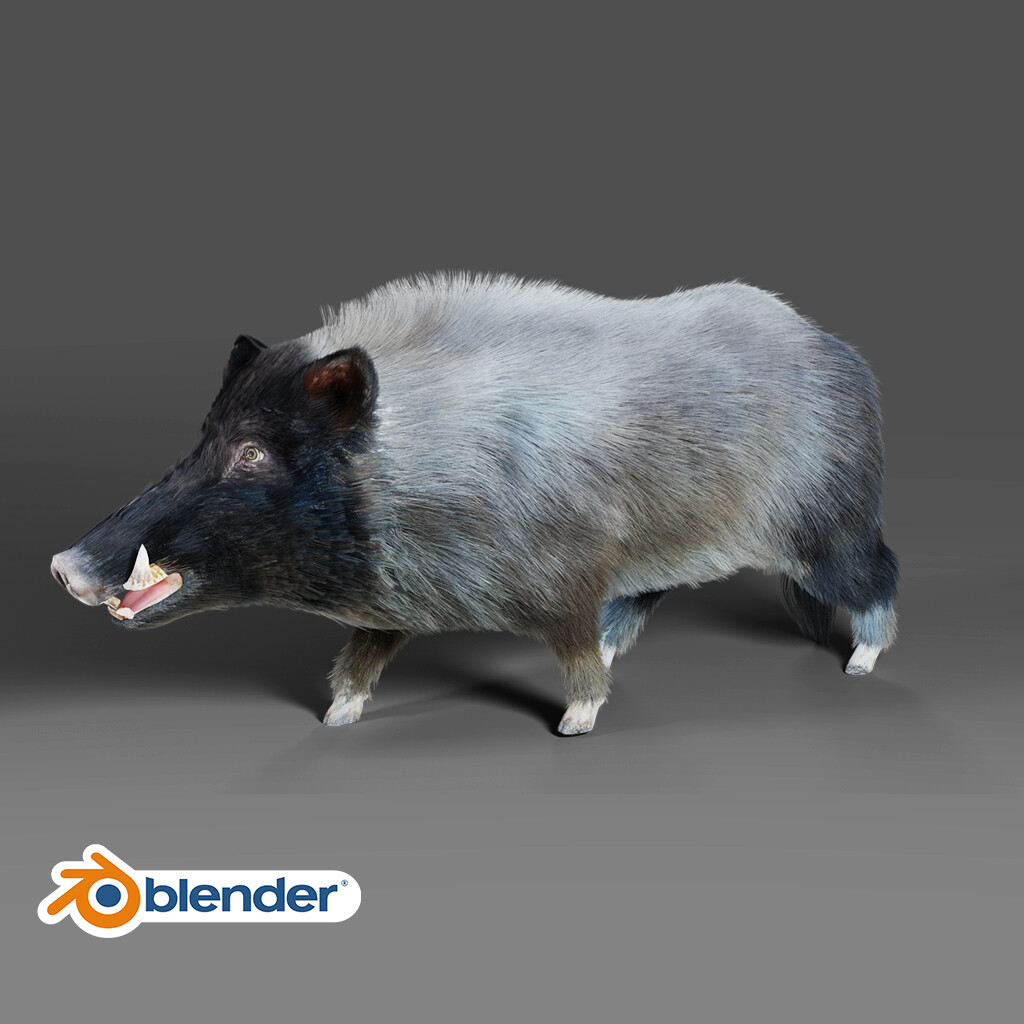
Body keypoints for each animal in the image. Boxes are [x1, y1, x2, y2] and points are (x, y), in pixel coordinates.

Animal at [51, 273, 899, 734]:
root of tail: (840, 353)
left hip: (826, 528)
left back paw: (861, 665)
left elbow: (573, 657)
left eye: (253, 452)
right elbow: (359, 661)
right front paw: (336, 718)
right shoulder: (396, 606)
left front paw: (574, 725)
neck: (410, 483)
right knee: (648, 595)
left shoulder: (564, 581)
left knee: (881, 573)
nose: (62, 565)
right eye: (203, 437)